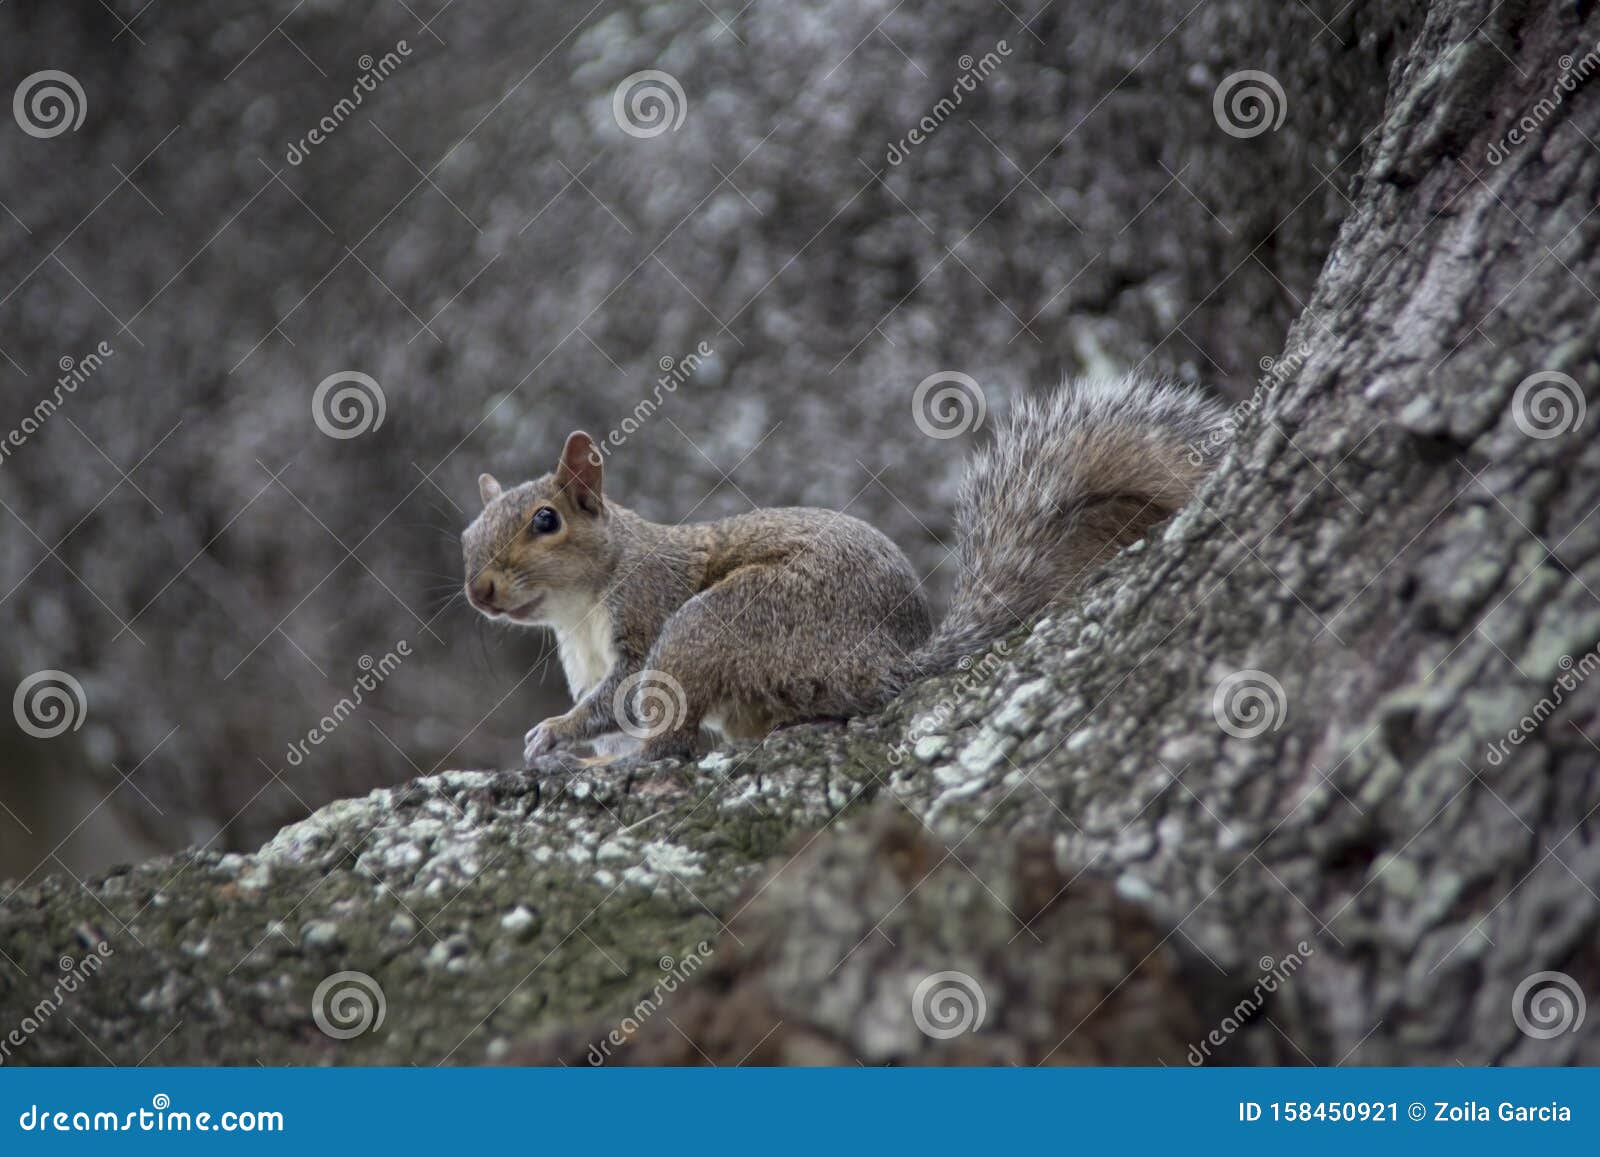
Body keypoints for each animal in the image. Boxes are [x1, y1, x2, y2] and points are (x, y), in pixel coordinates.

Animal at [462, 375, 1227, 766]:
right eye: (468, 535)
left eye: (545, 521)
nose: (480, 590)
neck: (581, 607)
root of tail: (888, 660)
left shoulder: (648, 608)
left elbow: (619, 695)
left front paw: (558, 732)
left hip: (719, 621)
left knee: (674, 743)